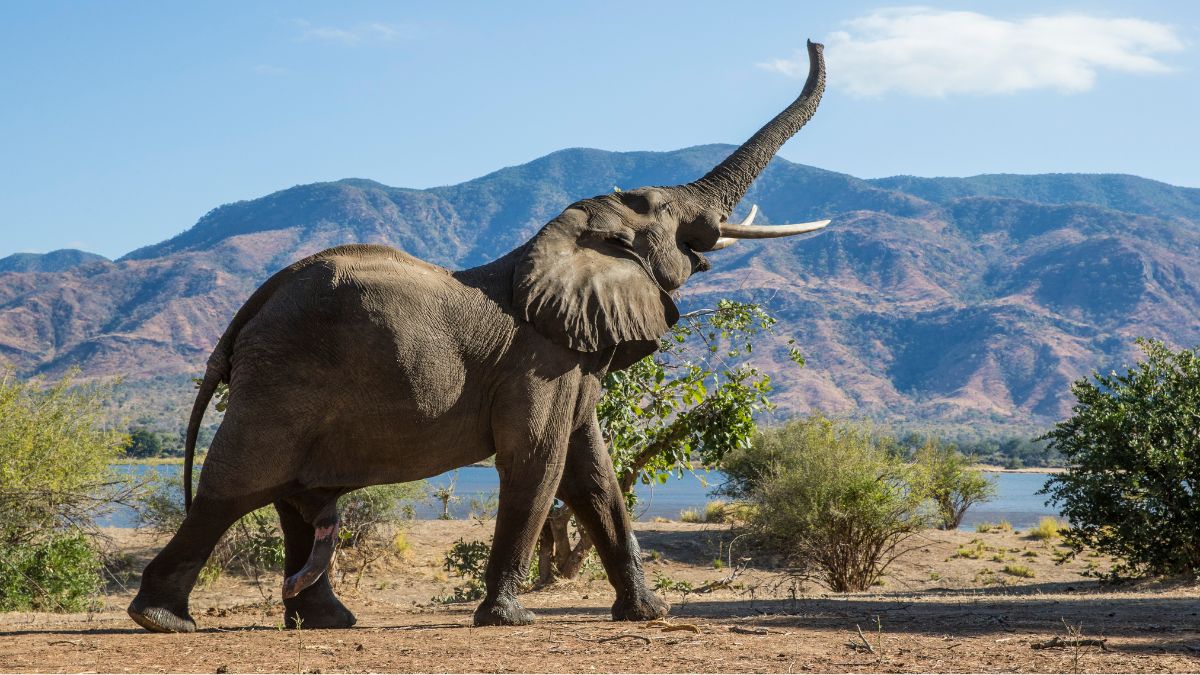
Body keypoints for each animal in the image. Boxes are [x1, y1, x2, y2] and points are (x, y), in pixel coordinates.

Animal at [127, 40, 828, 633]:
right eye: (663, 211)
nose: (815, 40)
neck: (559, 242)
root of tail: (250, 310)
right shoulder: (538, 364)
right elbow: (538, 463)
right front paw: (509, 619)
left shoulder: (571, 361)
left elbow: (593, 474)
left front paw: (648, 615)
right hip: (282, 377)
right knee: (235, 488)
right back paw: (162, 620)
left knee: (292, 499)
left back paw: (328, 622)